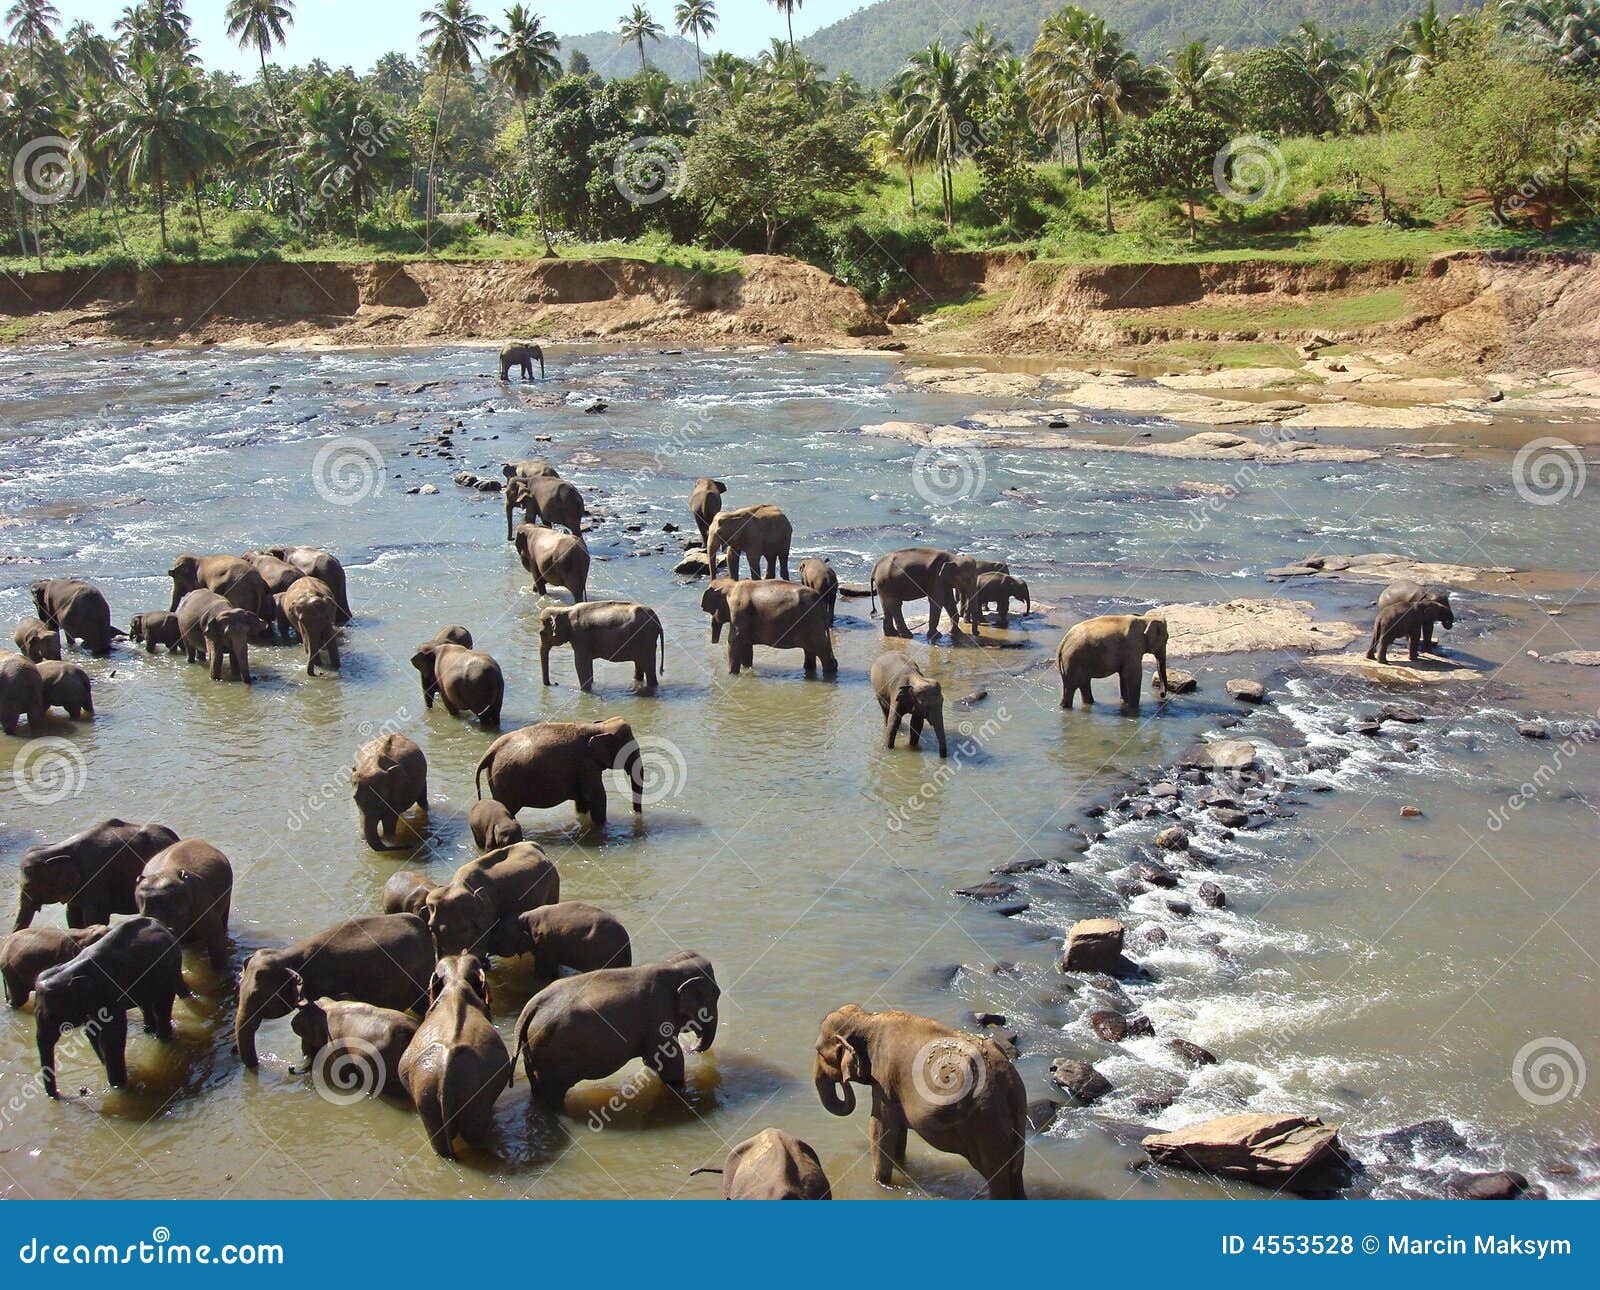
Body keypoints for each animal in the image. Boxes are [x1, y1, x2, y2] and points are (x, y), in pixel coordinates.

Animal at [34, 915, 189, 1098]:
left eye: (52, 1016)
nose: (81, 1091)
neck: (69, 969)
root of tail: (163, 925)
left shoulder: (109, 994)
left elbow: (113, 1036)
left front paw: (119, 1086)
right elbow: (92, 1032)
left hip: (169, 968)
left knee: (161, 1006)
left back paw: (162, 1038)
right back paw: (148, 1031)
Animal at [421, 842, 561, 957]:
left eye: (466, 929)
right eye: (430, 928)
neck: (458, 886)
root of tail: (536, 847)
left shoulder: (488, 914)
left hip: (553, 885)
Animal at [475, 717, 645, 829]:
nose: (636, 814)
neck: (600, 727)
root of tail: (491, 751)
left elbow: (582, 799)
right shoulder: (586, 764)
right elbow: (597, 796)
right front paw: (602, 827)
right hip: (504, 779)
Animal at [511, 951, 719, 1109]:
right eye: (716, 994)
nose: (692, 1048)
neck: (672, 964)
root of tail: (530, 1008)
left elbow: (654, 1061)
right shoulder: (658, 1014)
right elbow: (671, 1062)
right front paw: (679, 1088)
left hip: (532, 1050)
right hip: (550, 1055)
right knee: (552, 1093)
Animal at [813, 1004, 1028, 1200]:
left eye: (821, 1053)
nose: (843, 1080)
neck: (869, 1018)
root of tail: (1010, 1084)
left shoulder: (883, 1078)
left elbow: (880, 1128)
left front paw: (880, 1182)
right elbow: (897, 1133)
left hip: (986, 1121)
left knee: (997, 1177)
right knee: (1015, 1174)